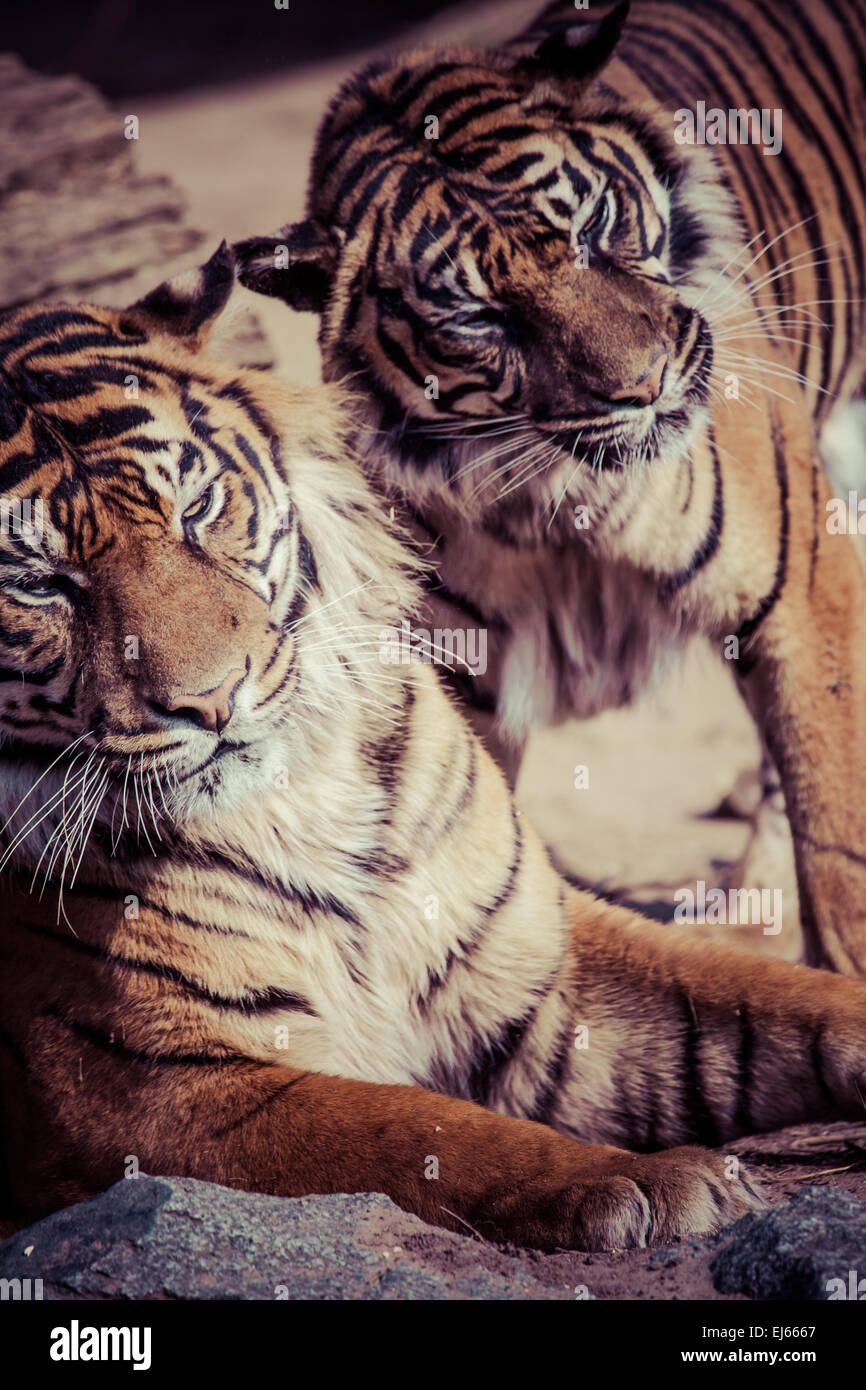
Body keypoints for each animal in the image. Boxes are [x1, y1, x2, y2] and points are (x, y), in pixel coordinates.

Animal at [2, 245, 866, 1256]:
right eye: (38, 583)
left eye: (198, 507)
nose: (212, 701)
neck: (296, 807)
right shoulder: (147, 1093)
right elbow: (419, 1128)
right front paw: (653, 1182)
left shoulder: (546, 966)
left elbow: (778, 994)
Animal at [235, 0, 866, 976]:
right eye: (479, 317)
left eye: (592, 225)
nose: (646, 387)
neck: (553, 498)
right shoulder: (456, 674)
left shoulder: (799, 588)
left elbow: (838, 842)